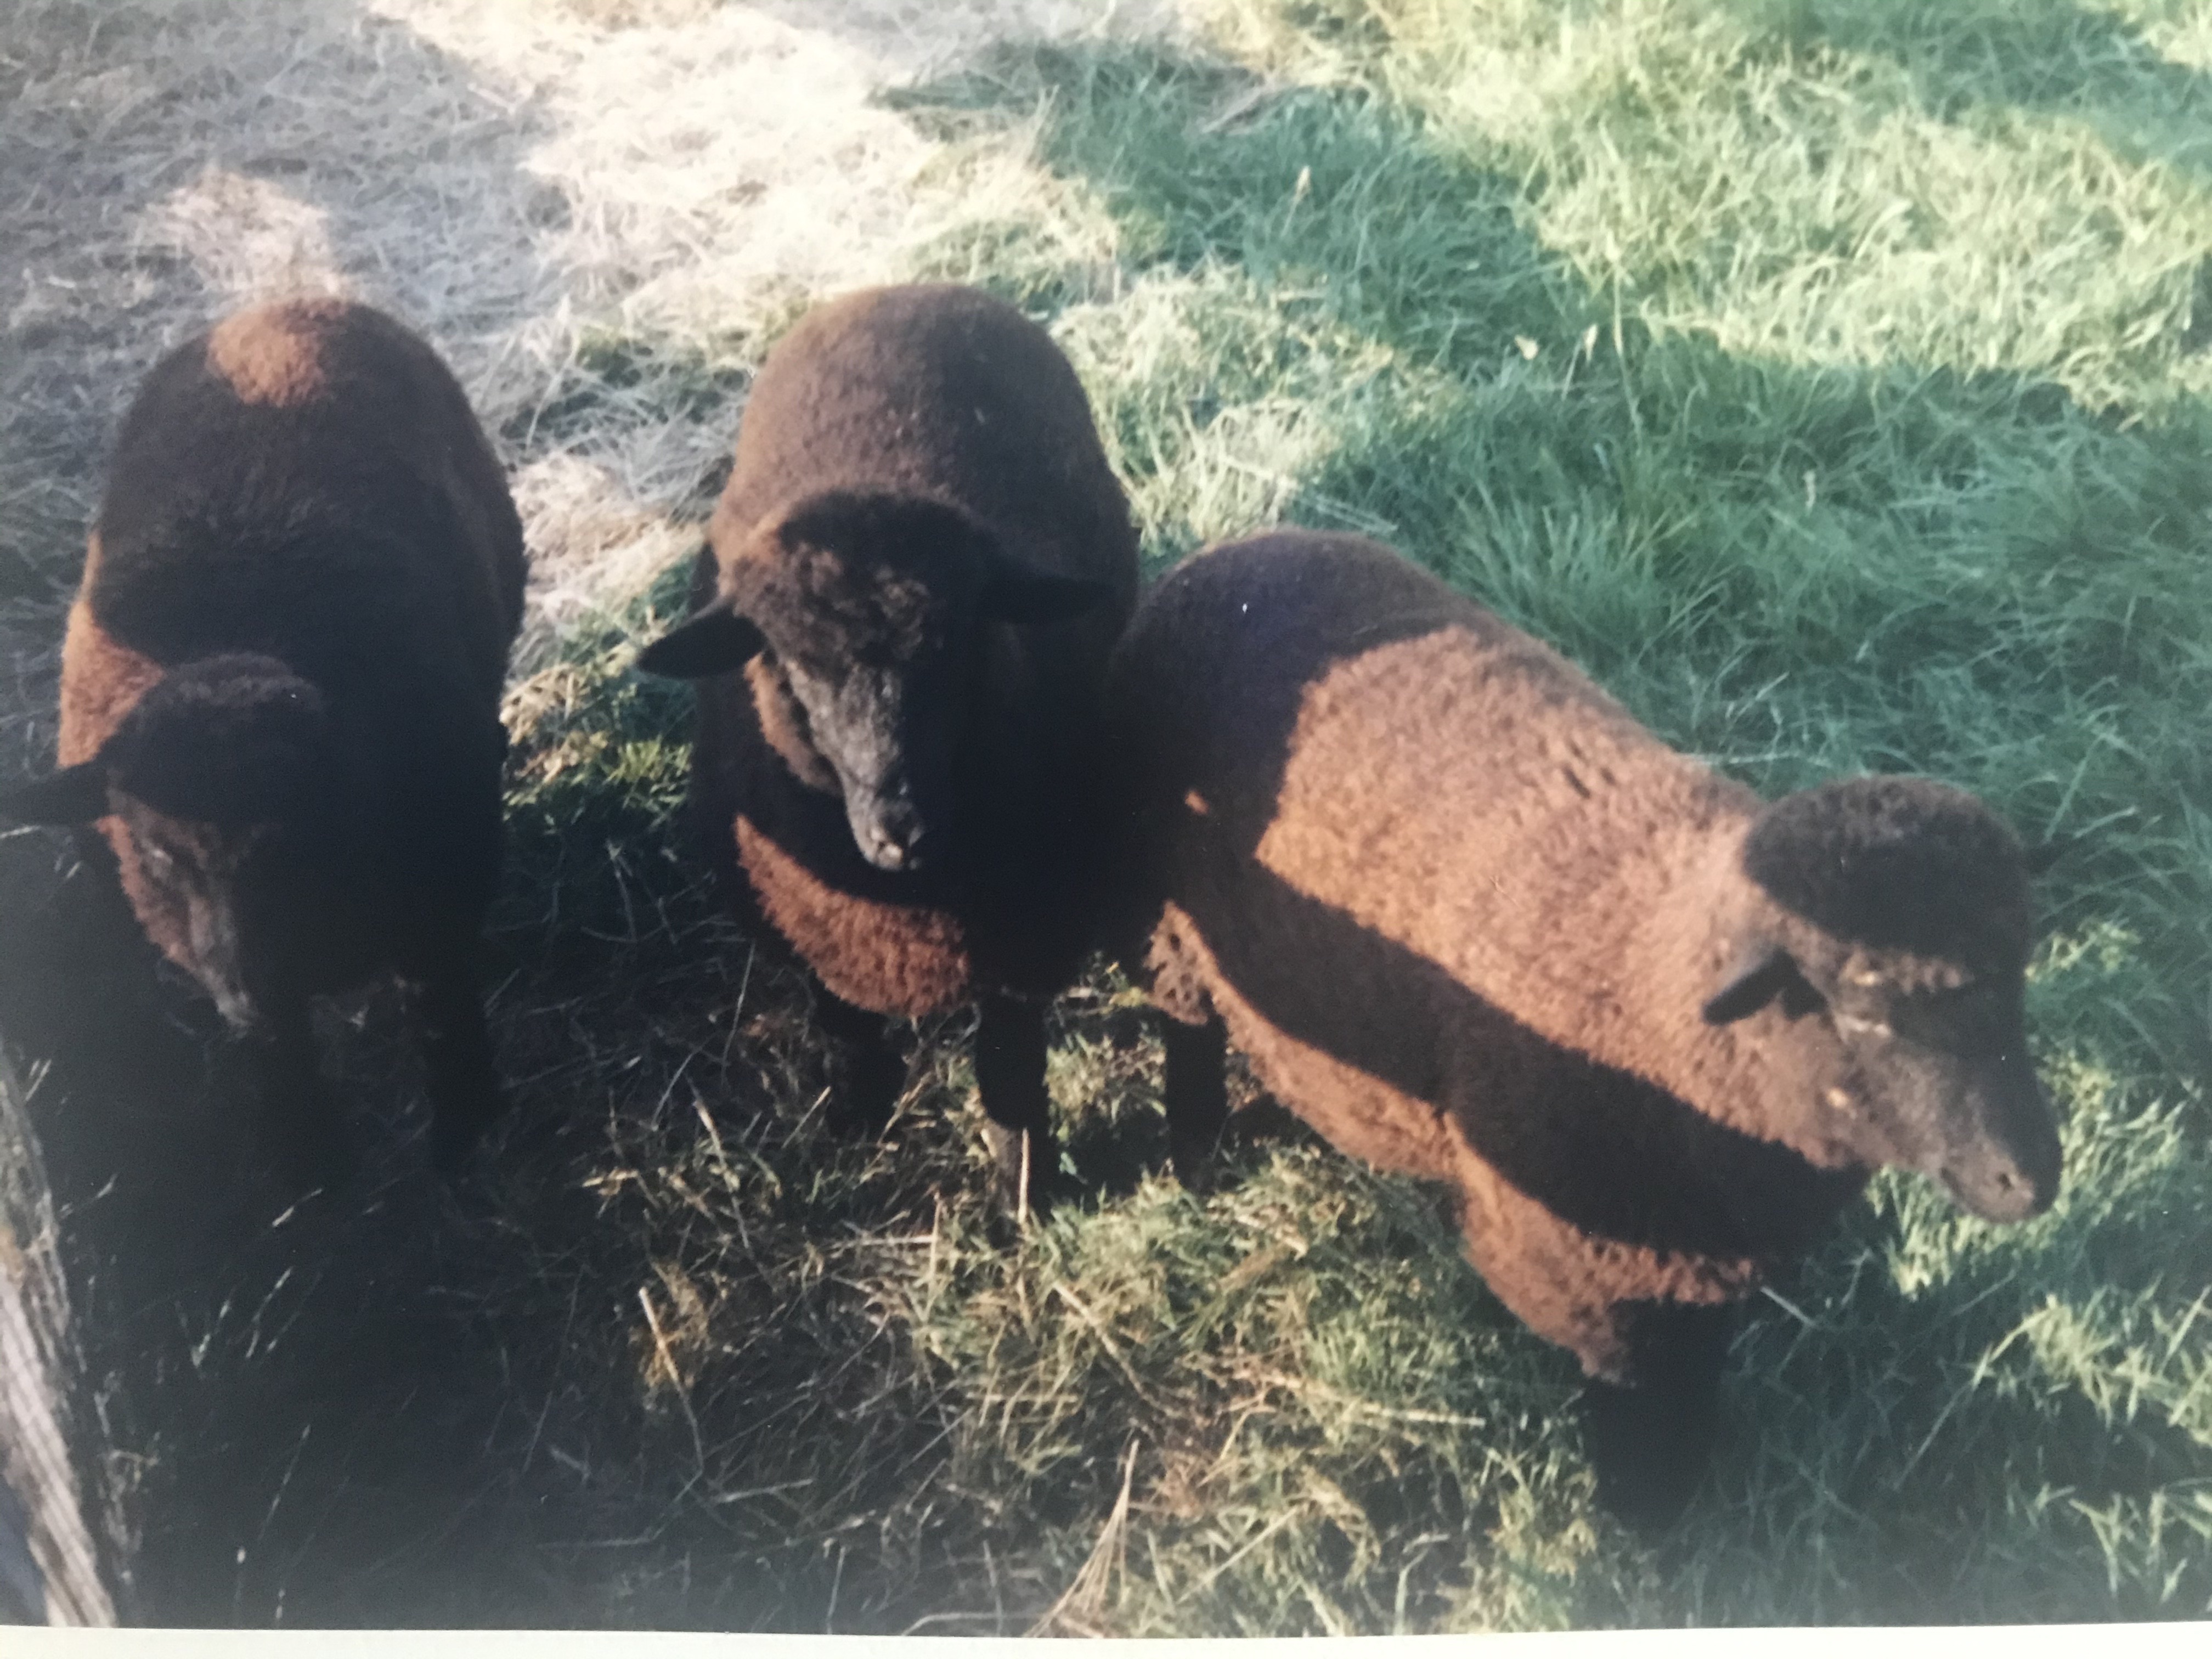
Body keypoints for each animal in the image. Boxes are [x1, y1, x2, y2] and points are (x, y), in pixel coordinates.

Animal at [0, 297, 526, 1186]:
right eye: (156, 851)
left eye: (299, 836)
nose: (244, 988)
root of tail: (278, 305)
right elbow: (282, 1053)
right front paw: (310, 1155)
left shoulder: (440, 899)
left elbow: (441, 1004)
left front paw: (468, 1125)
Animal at [638, 283, 1138, 1215]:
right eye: (792, 660)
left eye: (958, 644)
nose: (900, 830)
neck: (902, 913)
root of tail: (906, 289)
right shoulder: (803, 918)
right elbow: (840, 1016)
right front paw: (857, 1112)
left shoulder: (1026, 941)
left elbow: (1008, 1064)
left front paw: (1021, 1187)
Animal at [1103, 528, 2062, 1530]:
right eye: (1866, 1012)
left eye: (2018, 978)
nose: (2031, 1177)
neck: (1664, 993)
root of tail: (1238, 548)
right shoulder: (1589, 1266)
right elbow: (1636, 1394)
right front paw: (1643, 1522)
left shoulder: (1695, 1258)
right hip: (1161, 919)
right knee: (1188, 1026)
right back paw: (1199, 1152)